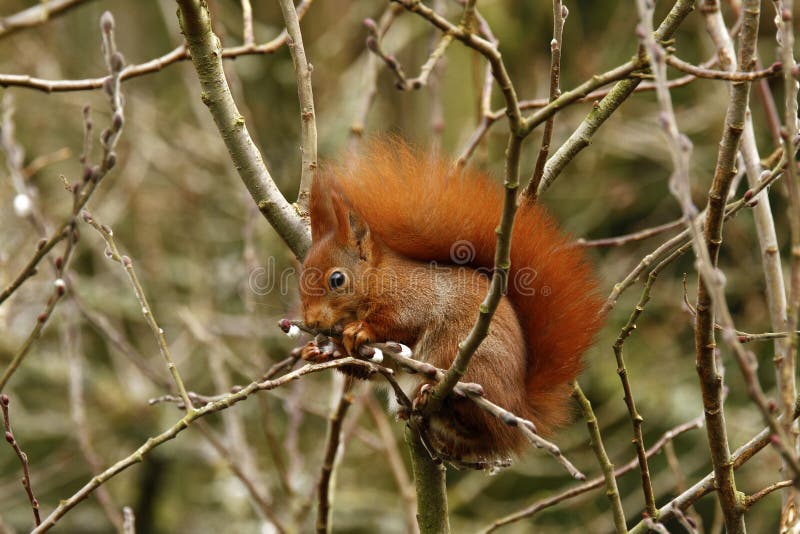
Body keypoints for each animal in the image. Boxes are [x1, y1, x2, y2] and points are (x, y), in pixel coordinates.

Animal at [298, 138, 604, 468]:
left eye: (337, 279)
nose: (313, 322)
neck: (377, 279)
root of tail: (517, 409)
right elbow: (375, 368)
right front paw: (321, 352)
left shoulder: (415, 297)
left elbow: (401, 322)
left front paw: (360, 330)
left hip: (473, 364)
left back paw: (437, 395)